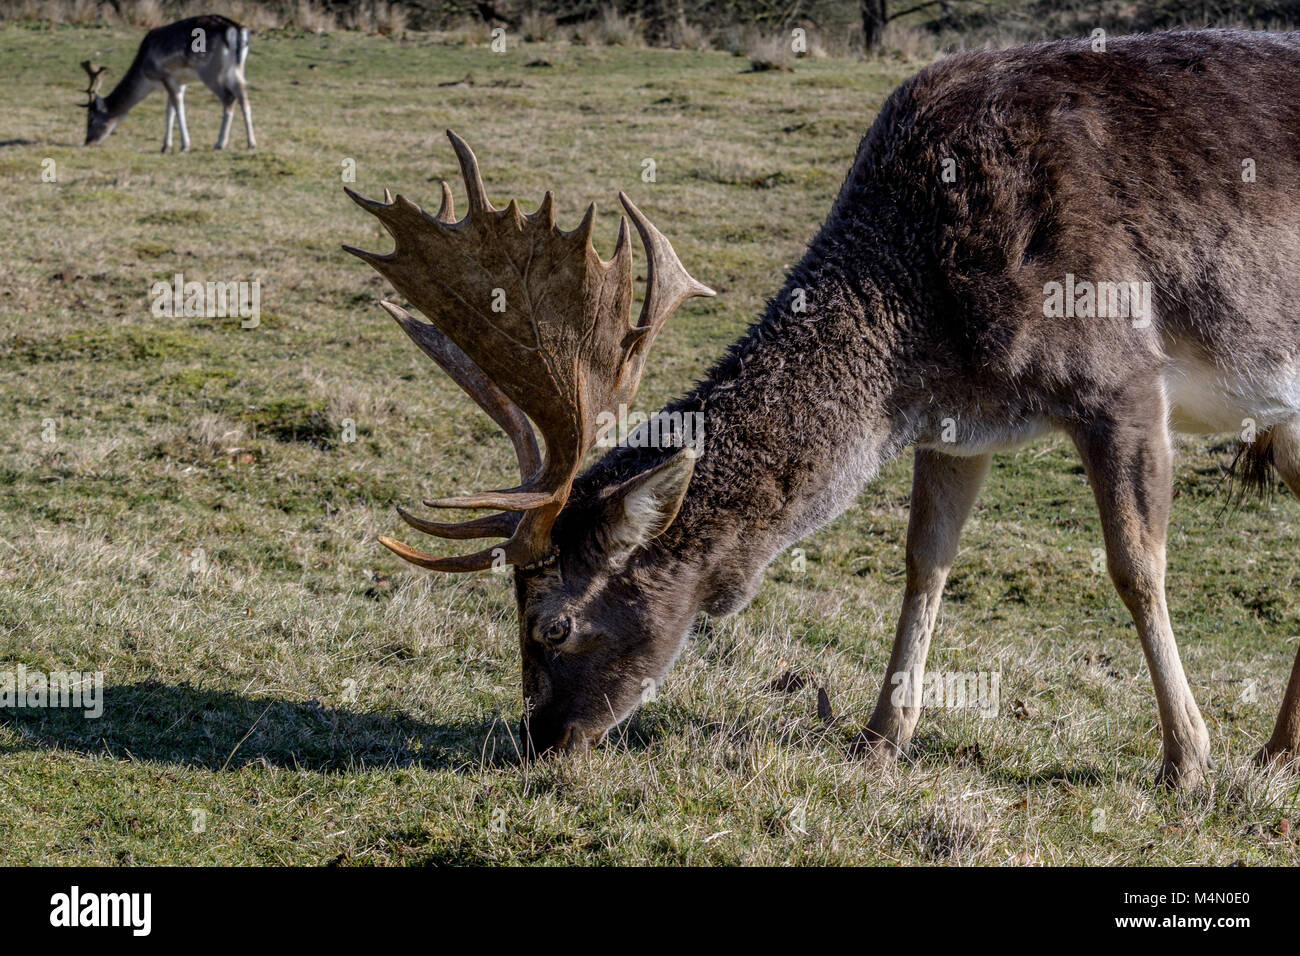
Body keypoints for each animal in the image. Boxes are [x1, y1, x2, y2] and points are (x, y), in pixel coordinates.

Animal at [81, 14, 255, 152]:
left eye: (91, 120)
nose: (87, 141)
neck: (145, 74)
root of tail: (235, 29)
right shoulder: (180, 81)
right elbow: (169, 110)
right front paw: (166, 146)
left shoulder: (166, 76)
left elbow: (178, 108)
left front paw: (184, 145)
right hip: (236, 69)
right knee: (243, 95)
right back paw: (251, 143)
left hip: (210, 70)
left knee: (229, 97)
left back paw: (220, 143)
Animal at [345, 29, 1300, 789]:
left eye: (551, 622)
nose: (539, 741)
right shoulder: (959, 425)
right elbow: (925, 562)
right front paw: (880, 737)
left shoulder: (1123, 378)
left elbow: (1136, 568)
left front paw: (1186, 760)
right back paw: (1278, 751)